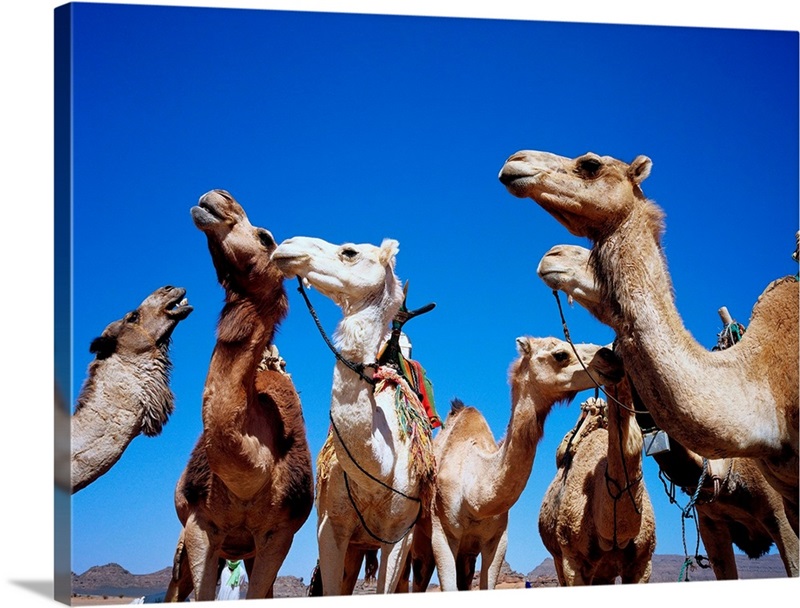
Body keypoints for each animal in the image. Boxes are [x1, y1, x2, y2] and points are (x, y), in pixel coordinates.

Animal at [271, 236, 436, 595]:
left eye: (349, 252)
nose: (286, 245)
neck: (380, 466)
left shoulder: (399, 536)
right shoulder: (330, 529)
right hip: (356, 546)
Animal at [404, 336, 625, 592]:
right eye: (560, 354)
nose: (611, 359)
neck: (475, 492)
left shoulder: (498, 540)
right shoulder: (443, 532)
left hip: (466, 554)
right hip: (420, 539)